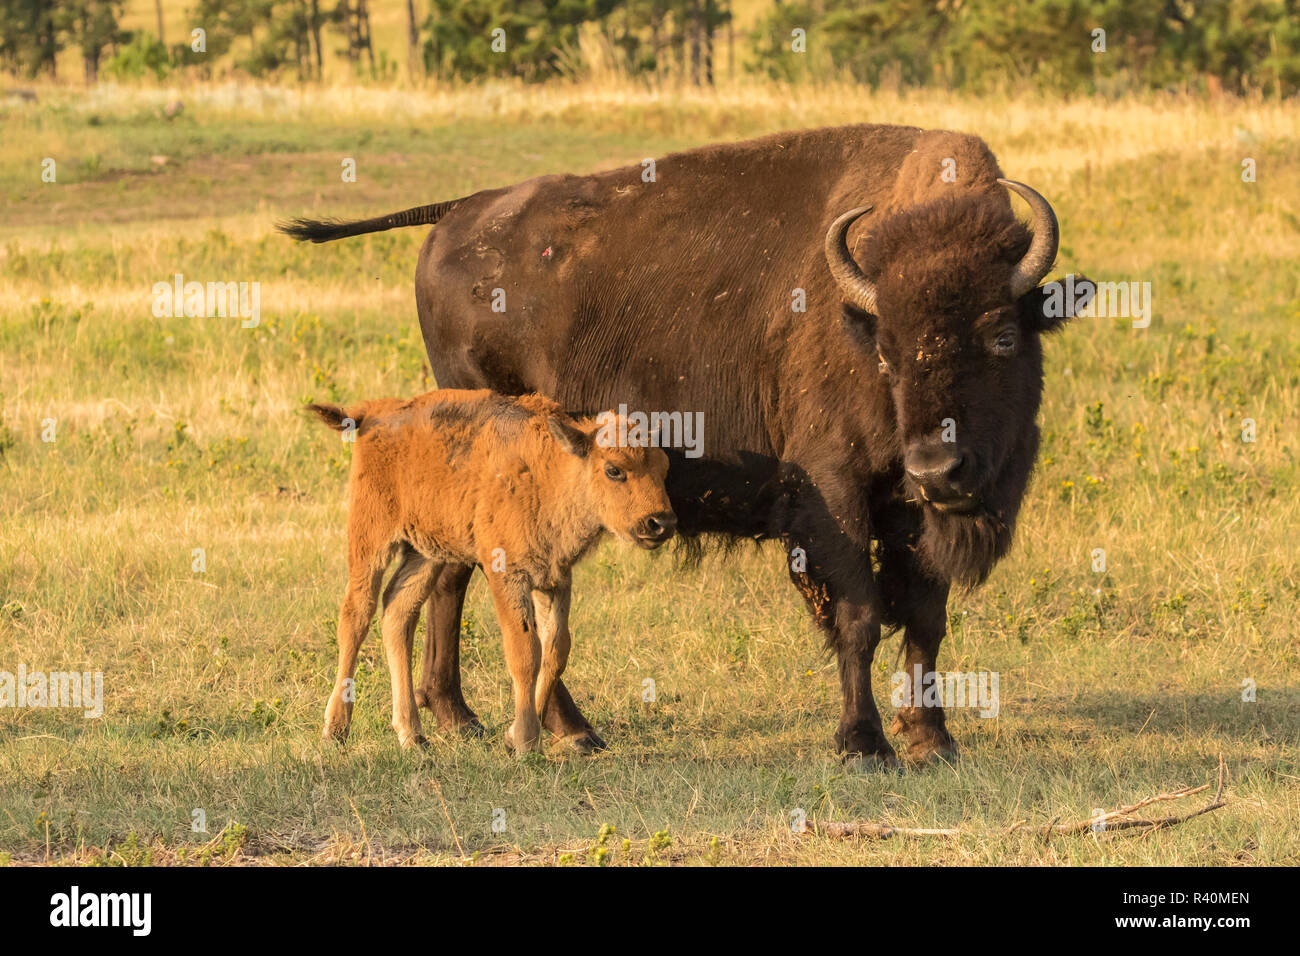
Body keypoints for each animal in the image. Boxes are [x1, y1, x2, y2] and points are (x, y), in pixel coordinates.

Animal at [307, 389, 674, 753]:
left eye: (664, 468)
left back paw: (412, 736)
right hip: (371, 538)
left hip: (426, 552)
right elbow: (525, 652)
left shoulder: (555, 580)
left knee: (398, 613)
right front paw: (525, 742)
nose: (661, 523)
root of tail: (374, 412)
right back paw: (335, 729)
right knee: (356, 615)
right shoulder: (507, 575)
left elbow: (556, 650)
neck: (552, 471)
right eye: (614, 470)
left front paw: (513, 737)